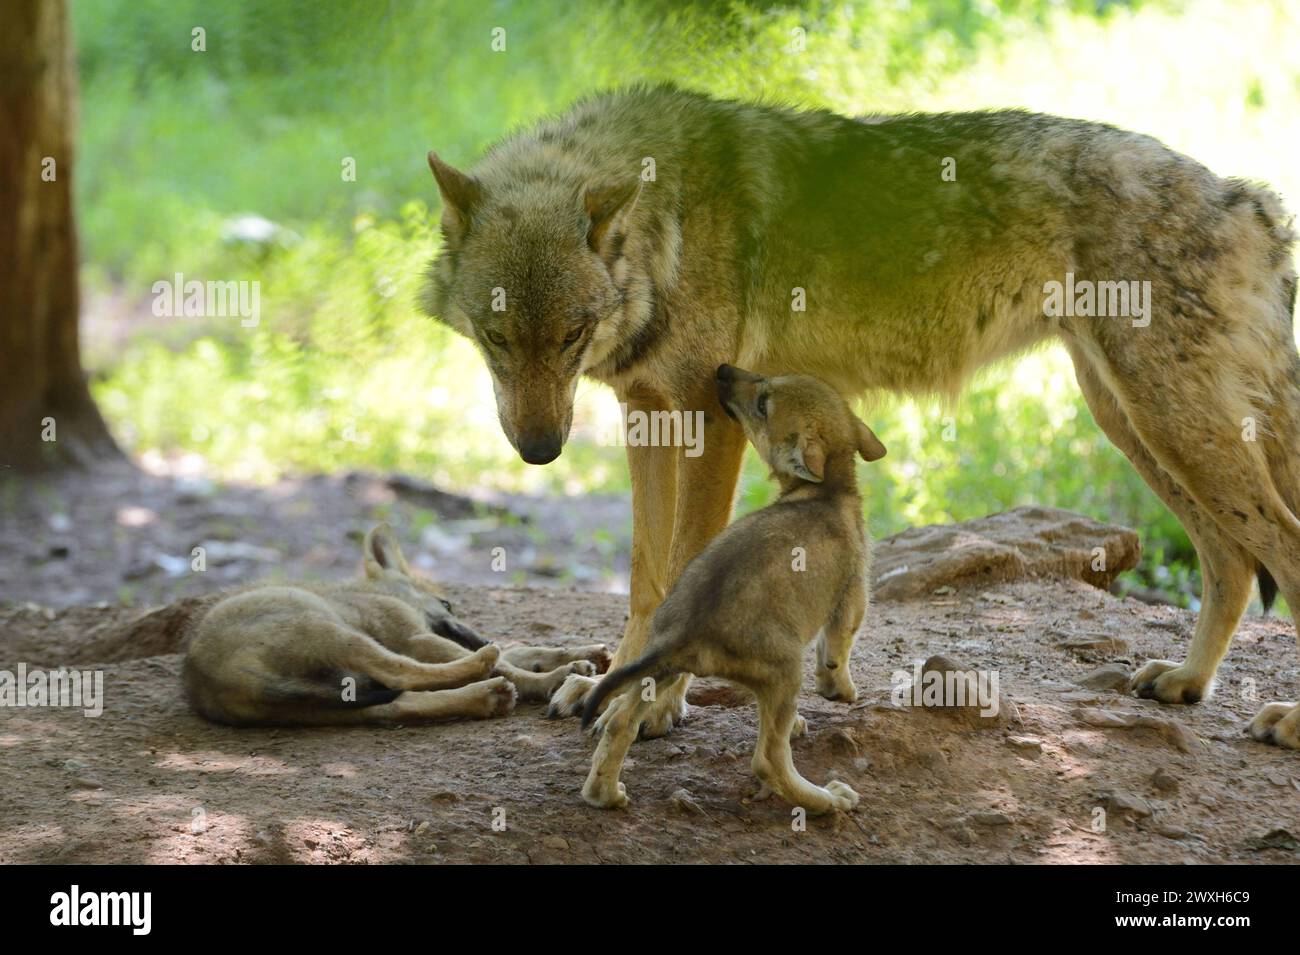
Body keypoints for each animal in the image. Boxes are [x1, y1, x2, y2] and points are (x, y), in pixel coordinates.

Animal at [183, 525, 610, 726]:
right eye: (447, 603)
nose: (479, 635)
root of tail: (206, 680)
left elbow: (523, 649)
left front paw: (583, 655)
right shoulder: (415, 636)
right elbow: (511, 661)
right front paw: (555, 677)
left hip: (334, 705)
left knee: (396, 705)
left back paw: (484, 696)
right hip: (332, 630)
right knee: (403, 673)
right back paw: (484, 673)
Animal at [419, 83, 1300, 748]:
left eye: (572, 335)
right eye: (498, 339)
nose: (539, 452)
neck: (665, 228)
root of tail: (1250, 199)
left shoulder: (709, 416)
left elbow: (683, 568)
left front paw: (654, 703)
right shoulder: (647, 414)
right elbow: (644, 577)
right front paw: (612, 683)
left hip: (1169, 422)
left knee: (1278, 545)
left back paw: (1283, 717)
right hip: (1135, 424)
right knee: (1231, 562)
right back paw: (1187, 682)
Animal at [581, 366, 884, 813]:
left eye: (763, 403)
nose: (723, 370)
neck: (827, 490)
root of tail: (685, 632)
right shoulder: (851, 599)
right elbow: (837, 654)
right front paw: (840, 692)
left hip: (663, 672)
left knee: (620, 723)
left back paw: (605, 794)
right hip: (783, 673)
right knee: (768, 761)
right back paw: (829, 799)